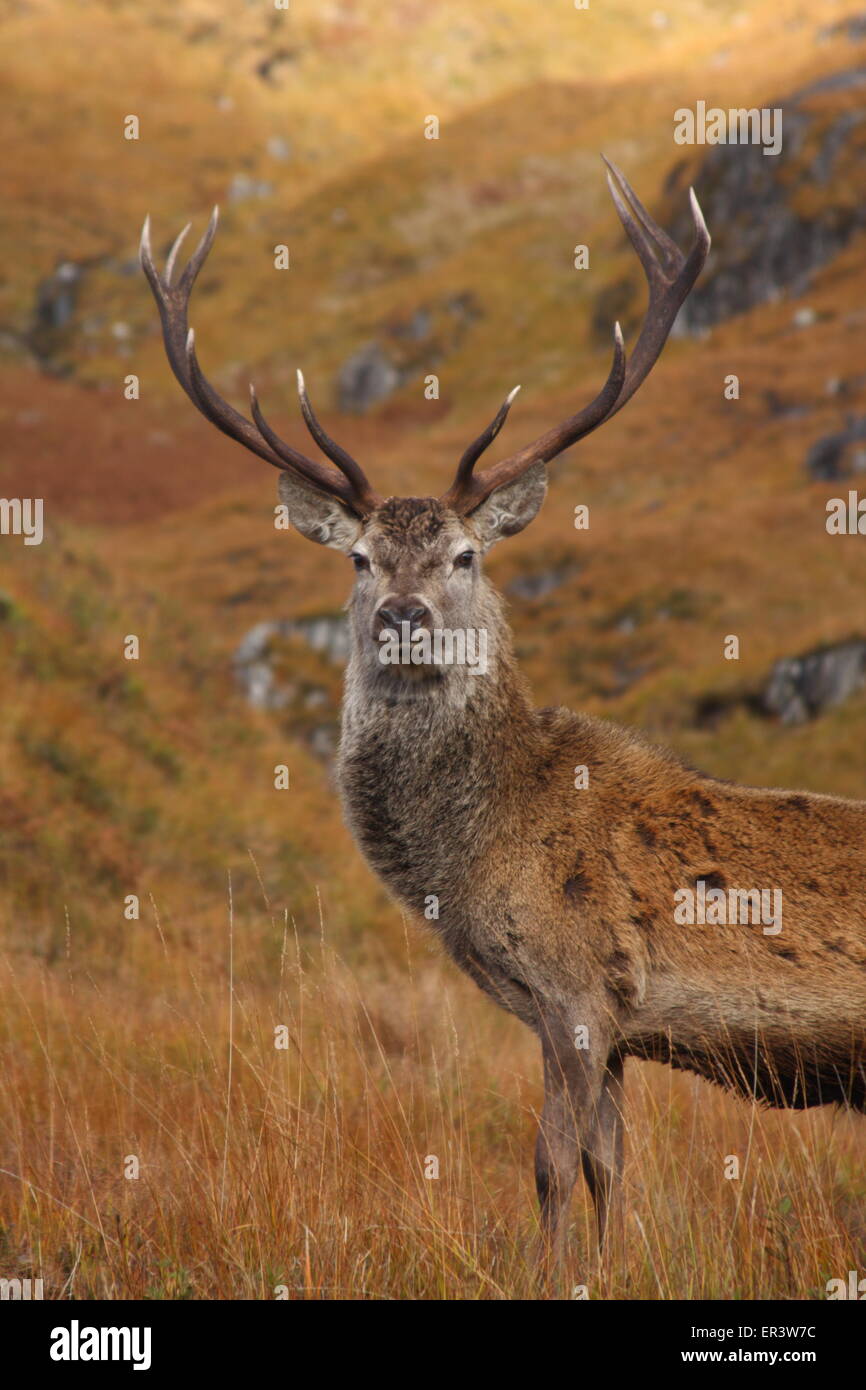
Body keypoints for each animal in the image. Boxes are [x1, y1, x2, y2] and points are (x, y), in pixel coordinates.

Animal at [141, 160, 866, 1269]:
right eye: (359, 558)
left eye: (465, 554)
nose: (402, 613)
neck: (479, 855)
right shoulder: (608, 1028)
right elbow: (610, 1164)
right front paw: (609, 1269)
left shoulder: (573, 992)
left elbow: (550, 1163)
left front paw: (558, 1274)